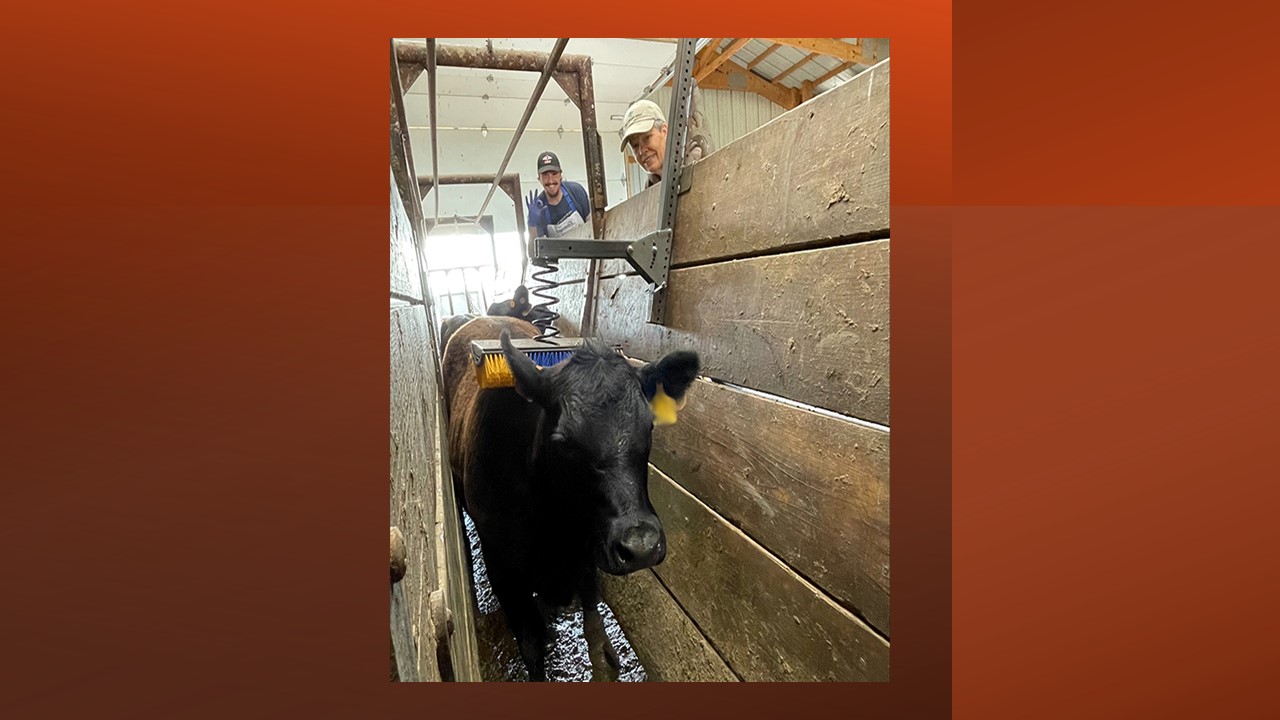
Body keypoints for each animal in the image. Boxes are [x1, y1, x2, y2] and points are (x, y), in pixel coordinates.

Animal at [442, 315, 699, 681]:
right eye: (563, 439)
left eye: (649, 426)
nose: (641, 546)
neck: (552, 525)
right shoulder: (502, 568)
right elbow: (531, 645)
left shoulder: (588, 549)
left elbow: (595, 627)